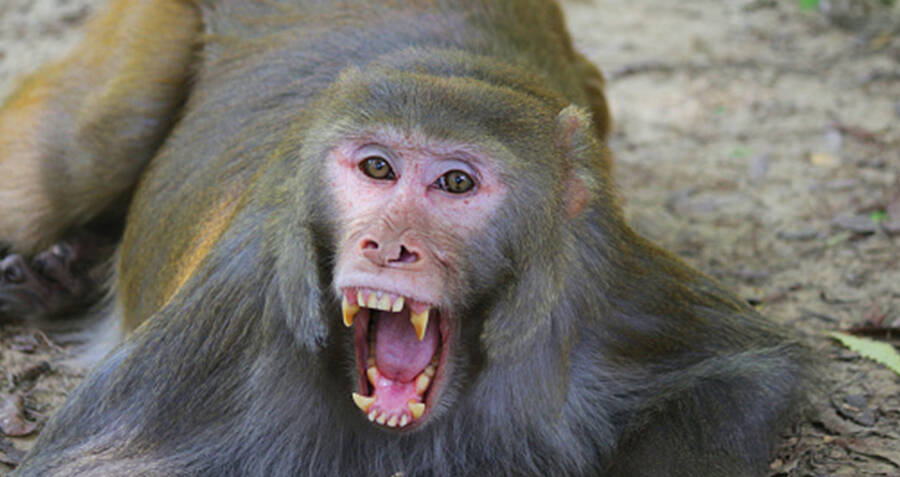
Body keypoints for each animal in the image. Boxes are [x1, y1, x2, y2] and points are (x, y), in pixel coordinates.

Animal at [0, 0, 812, 476]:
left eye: (454, 183)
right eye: (377, 168)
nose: (387, 246)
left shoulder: (601, 276)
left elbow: (746, 371)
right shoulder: (246, 302)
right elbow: (105, 460)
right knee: (76, 158)